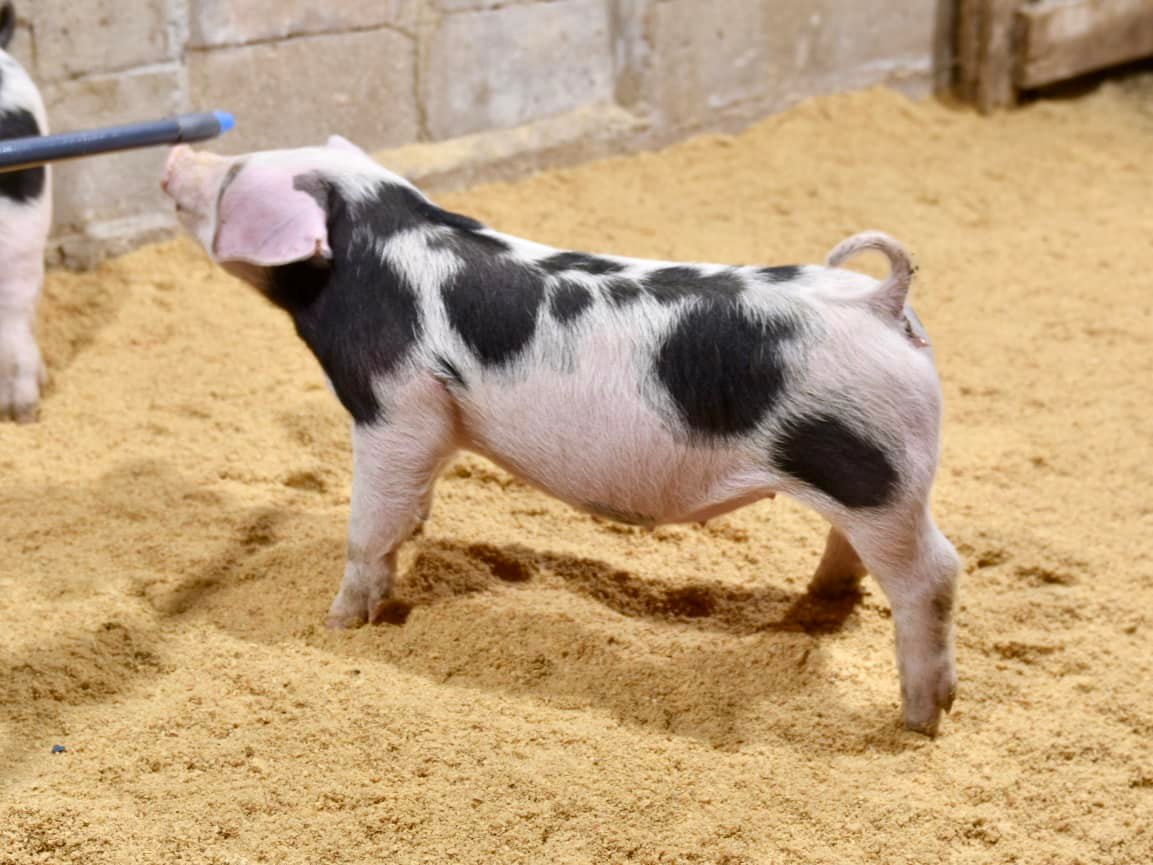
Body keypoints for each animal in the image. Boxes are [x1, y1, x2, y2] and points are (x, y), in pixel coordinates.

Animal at [162, 138, 960, 736]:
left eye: (233, 176)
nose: (174, 153)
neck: (378, 245)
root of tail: (880, 301)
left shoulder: (396, 406)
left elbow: (368, 526)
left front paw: (334, 627)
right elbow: (408, 509)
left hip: (874, 470)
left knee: (933, 572)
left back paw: (919, 719)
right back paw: (817, 604)